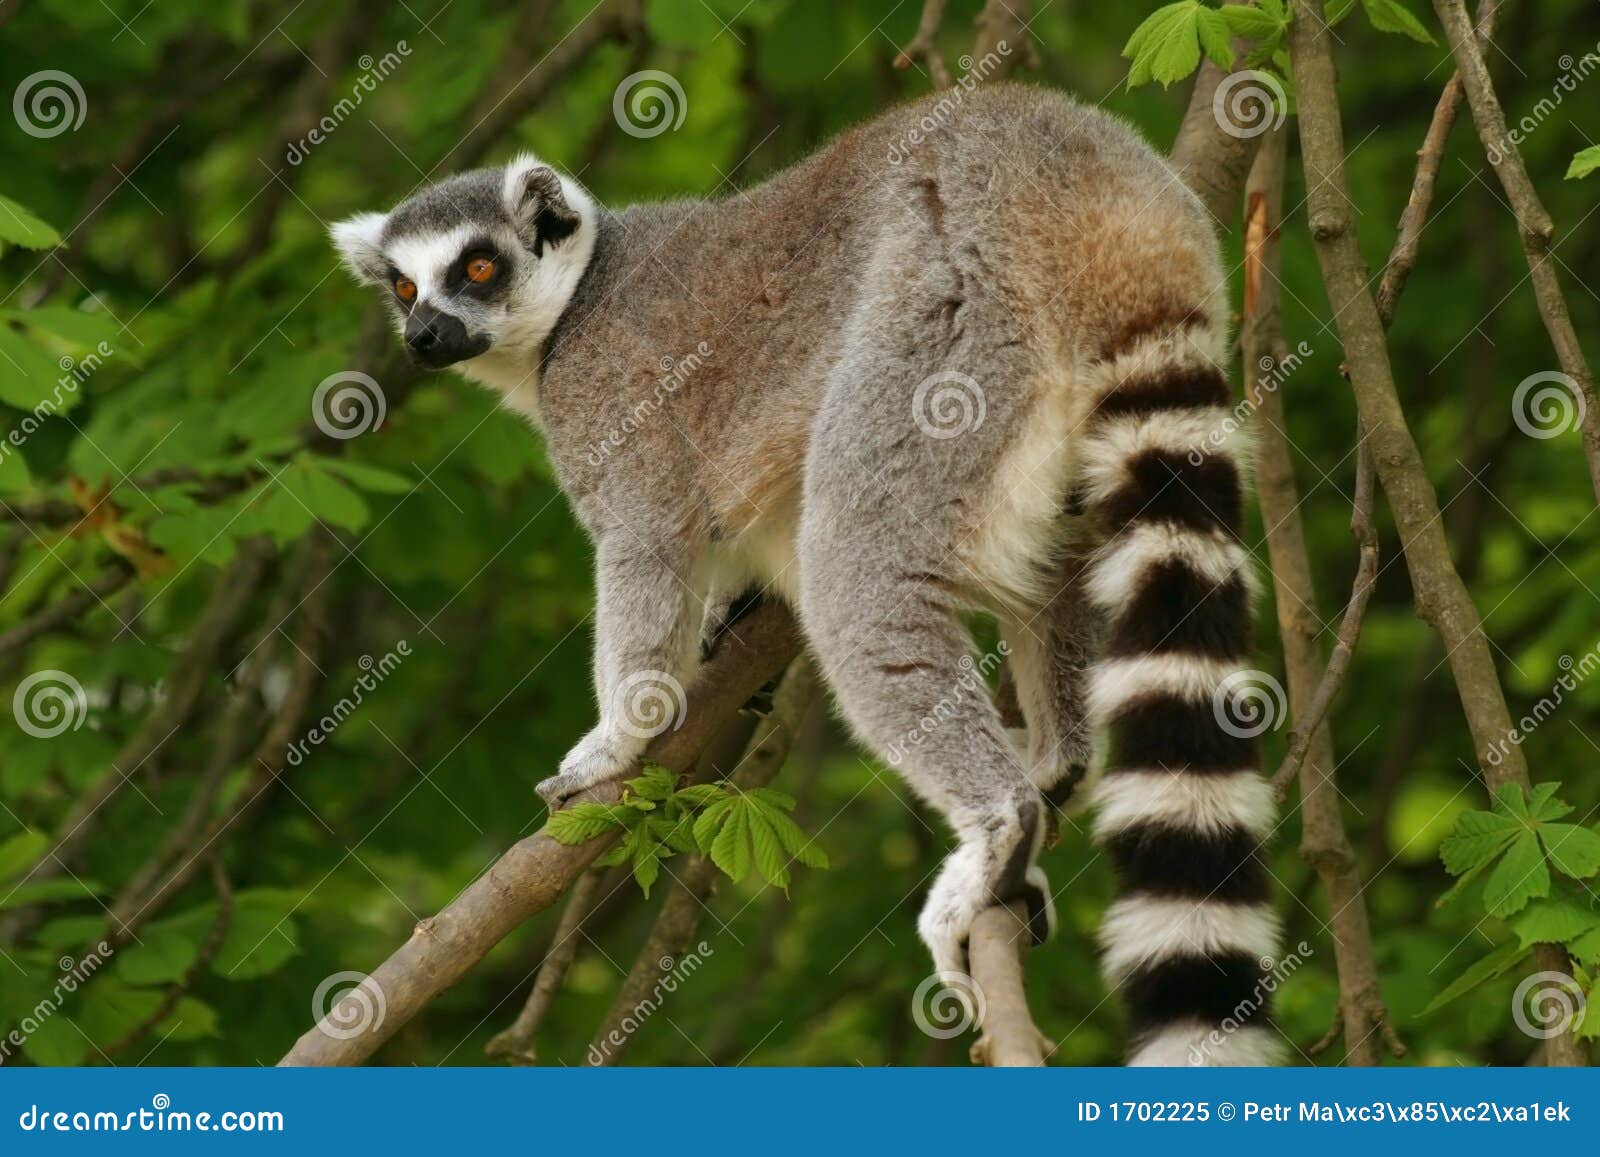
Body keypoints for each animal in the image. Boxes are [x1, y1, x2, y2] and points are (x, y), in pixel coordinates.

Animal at [332, 81, 1282, 1066]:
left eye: (478, 269)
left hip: (954, 329)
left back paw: (1000, 825)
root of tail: (1082, 183)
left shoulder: (612, 405)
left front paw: (615, 742)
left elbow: (650, 546)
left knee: (858, 572)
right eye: (403, 285)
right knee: (1050, 568)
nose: (423, 333)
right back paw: (1054, 770)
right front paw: (728, 619)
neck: (568, 314)